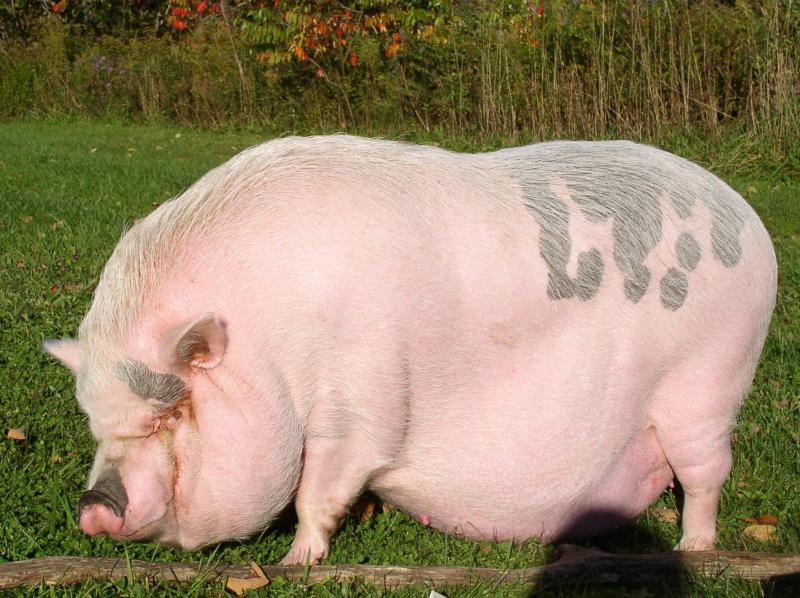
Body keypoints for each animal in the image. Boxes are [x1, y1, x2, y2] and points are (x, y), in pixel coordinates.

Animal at [44, 135, 777, 565]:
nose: (93, 508)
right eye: (95, 423)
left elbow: (320, 487)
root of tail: (747, 217)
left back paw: (694, 549)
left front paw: (295, 564)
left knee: (708, 475)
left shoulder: (363, 396)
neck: (270, 341)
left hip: (710, 377)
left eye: (170, 413)